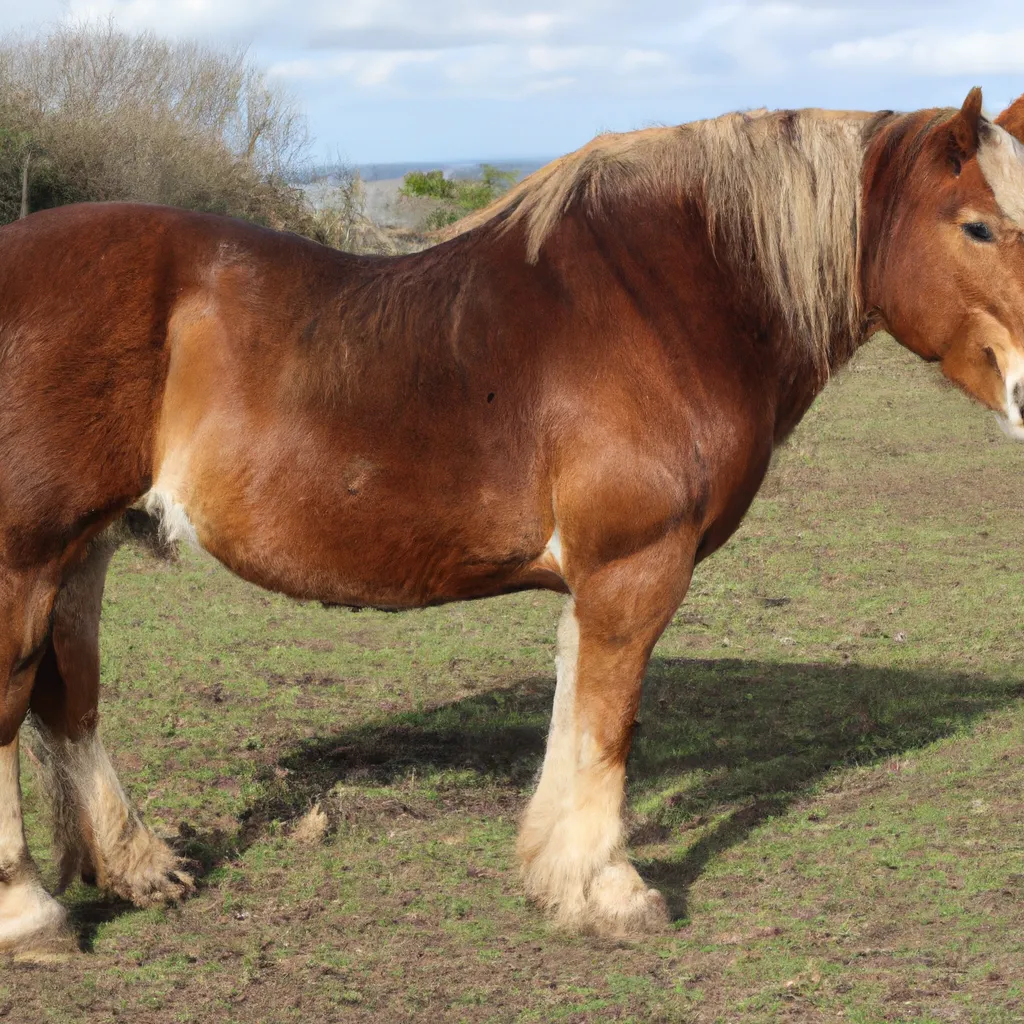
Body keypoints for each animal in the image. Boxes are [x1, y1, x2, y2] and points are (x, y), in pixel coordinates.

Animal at [3, 86, 1024, 953]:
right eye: (977, 225)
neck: (668, 304)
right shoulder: (635, 567)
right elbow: (608, 727)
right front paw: (610, 891)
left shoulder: (598, 578)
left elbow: (577, 714)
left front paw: (555, 873)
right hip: (28, 557)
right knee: (17, 705)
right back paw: (31, 914)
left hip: (84, 548)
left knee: (68, 699)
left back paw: (139, 866)